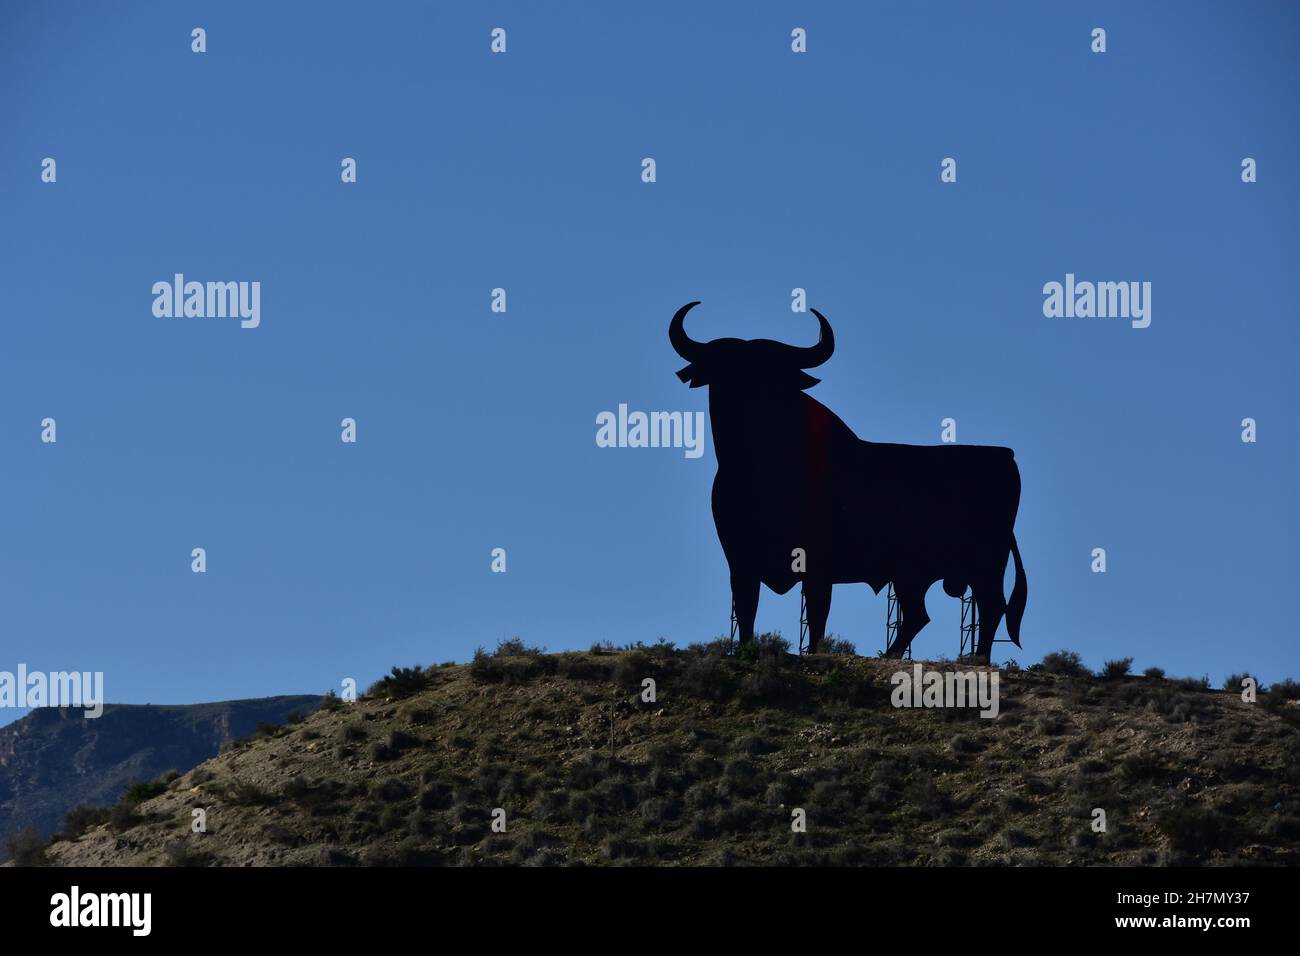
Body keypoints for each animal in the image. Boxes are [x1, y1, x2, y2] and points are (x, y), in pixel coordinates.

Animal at [670, 301, 1027, 658]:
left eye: (773, 373)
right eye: (725, 370)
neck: (762, 468)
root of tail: (1005, 456)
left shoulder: (818, 562)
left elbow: (817, 612)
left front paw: (813, 653)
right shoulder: (740, 559)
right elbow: (746, 608)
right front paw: (747, 650)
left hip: (984, 562)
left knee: (990, 605)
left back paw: (976, 657)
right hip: (913, 572)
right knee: (920, 613)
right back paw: (893, 654)